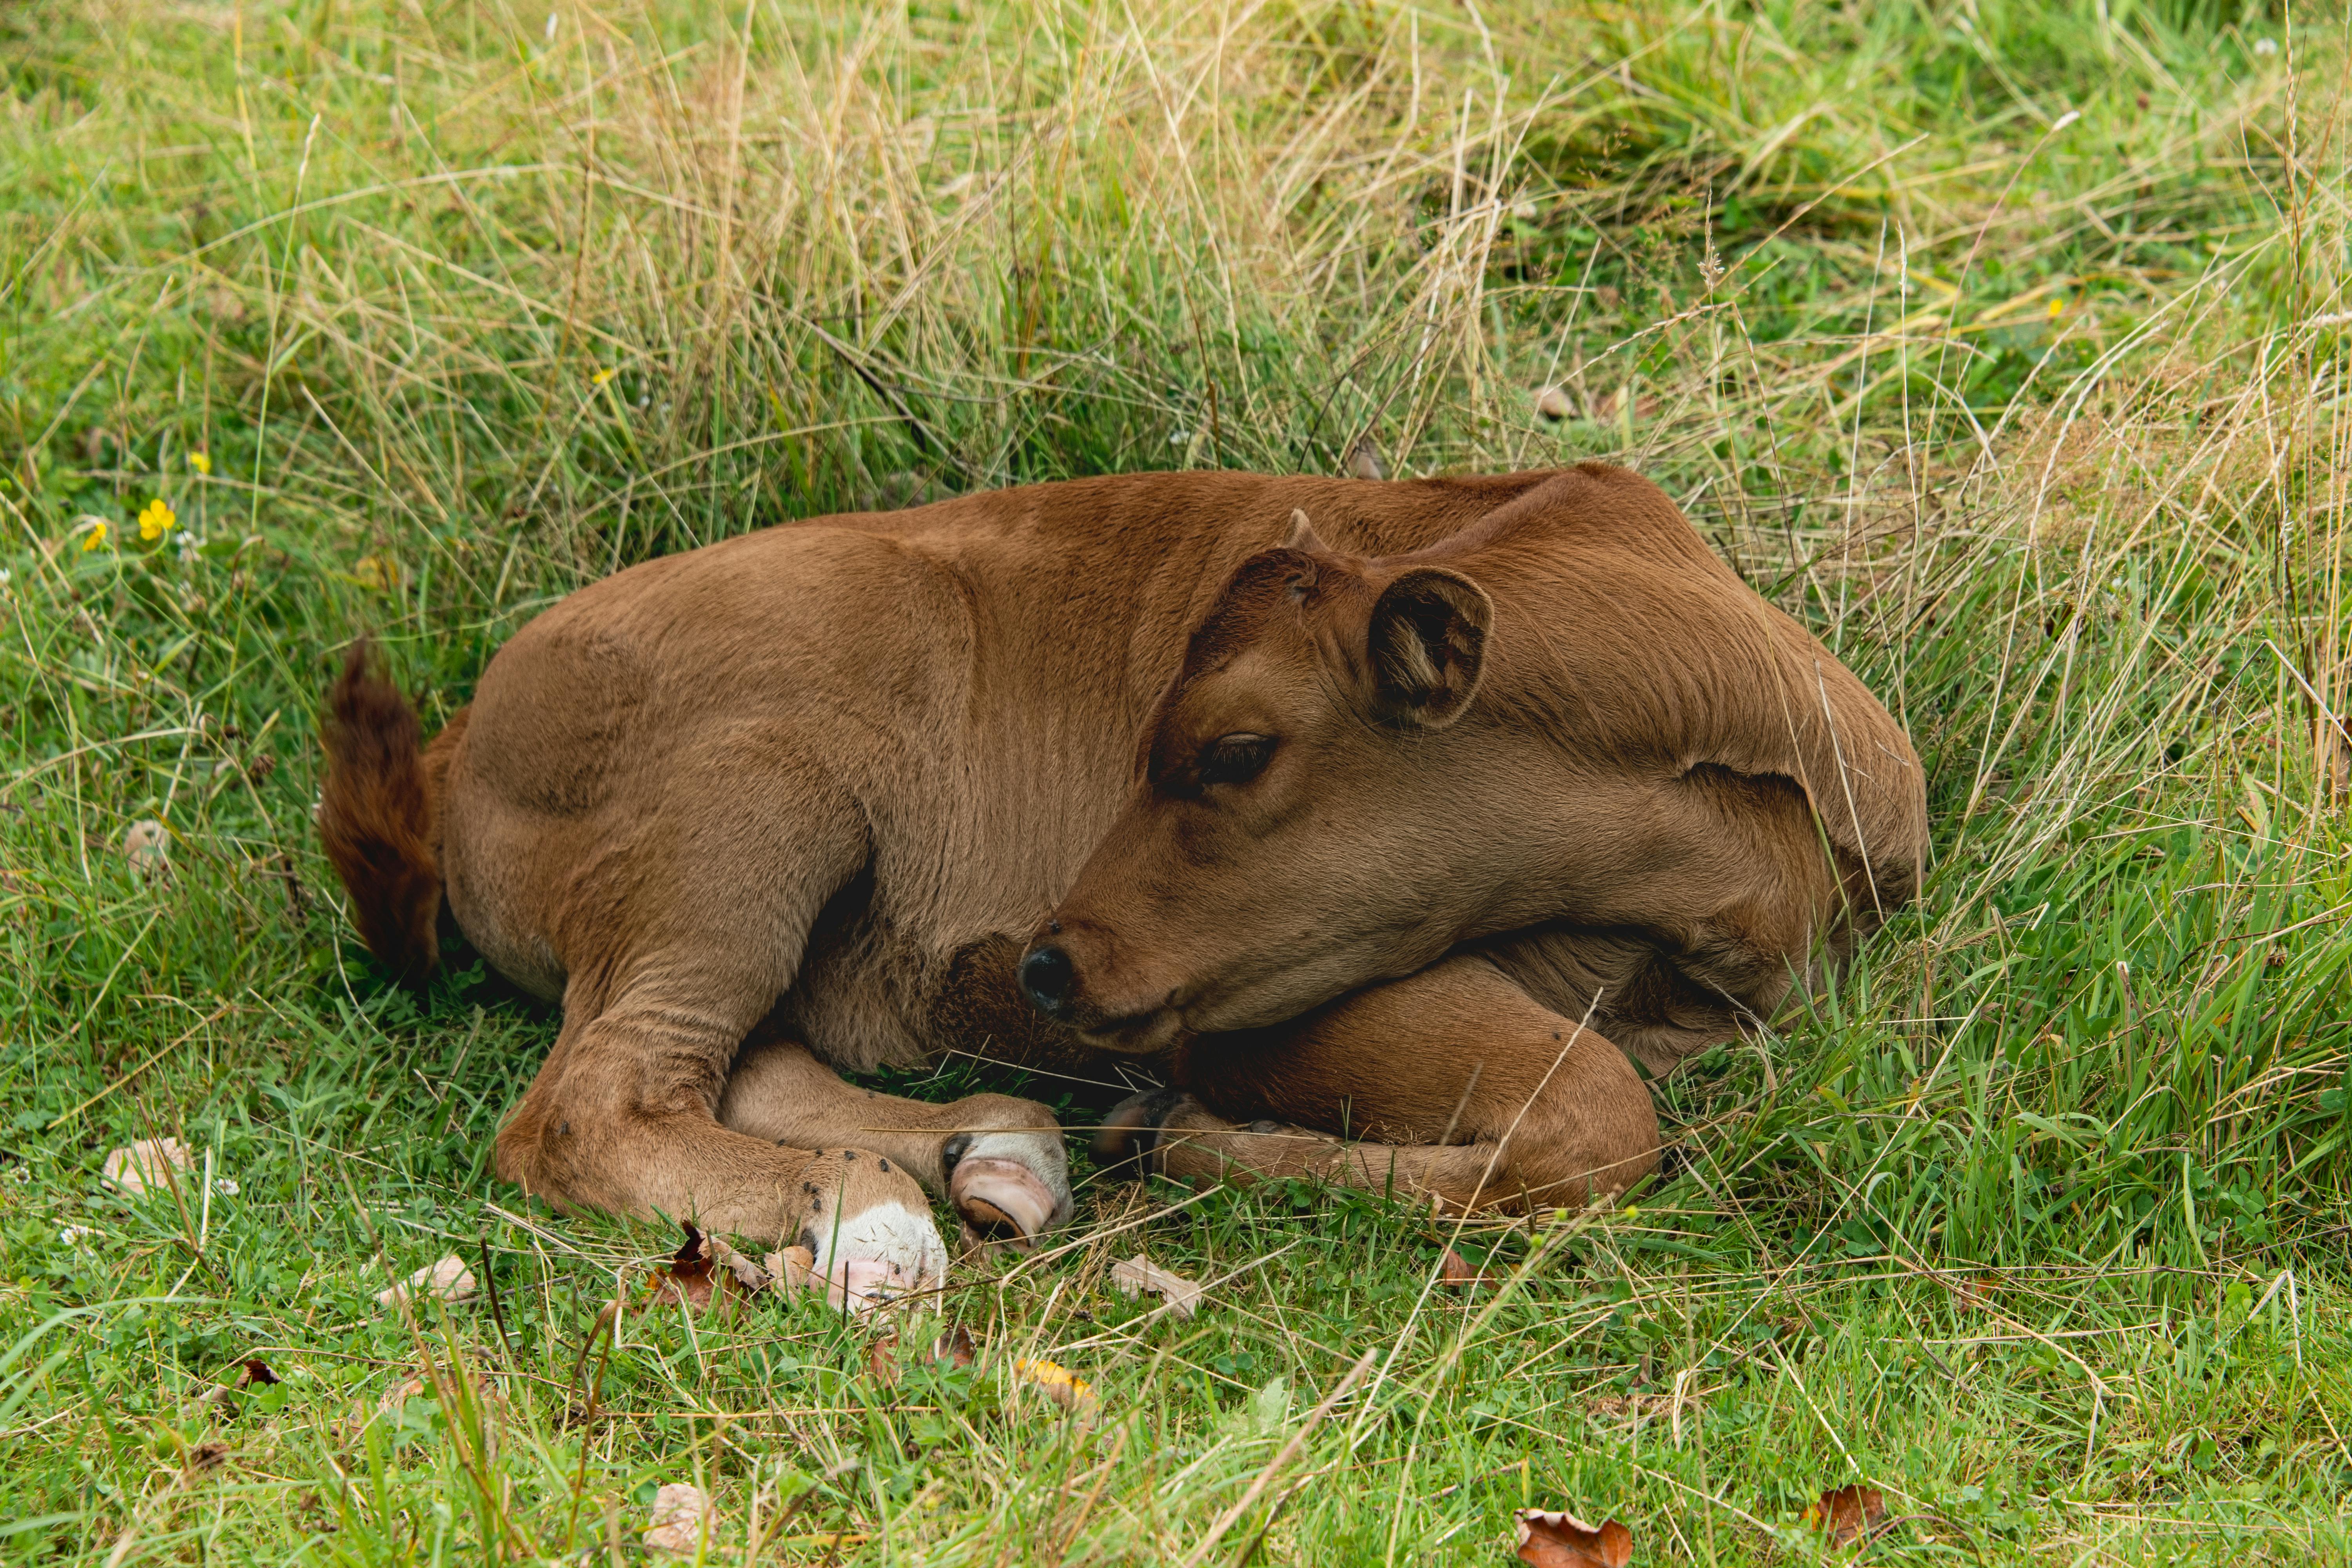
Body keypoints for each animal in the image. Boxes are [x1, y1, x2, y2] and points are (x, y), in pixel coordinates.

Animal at [320, 464, 1926, 1305]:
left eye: (1233, 747)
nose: (1045, 963)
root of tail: (466, 722)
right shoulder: (1273, 1005)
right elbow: (1598, 1116)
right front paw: (1192, 1140)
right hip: (751, 820)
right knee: (593, 1100)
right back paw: (875, 1218)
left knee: (727, 1064)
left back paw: (983, 1150)